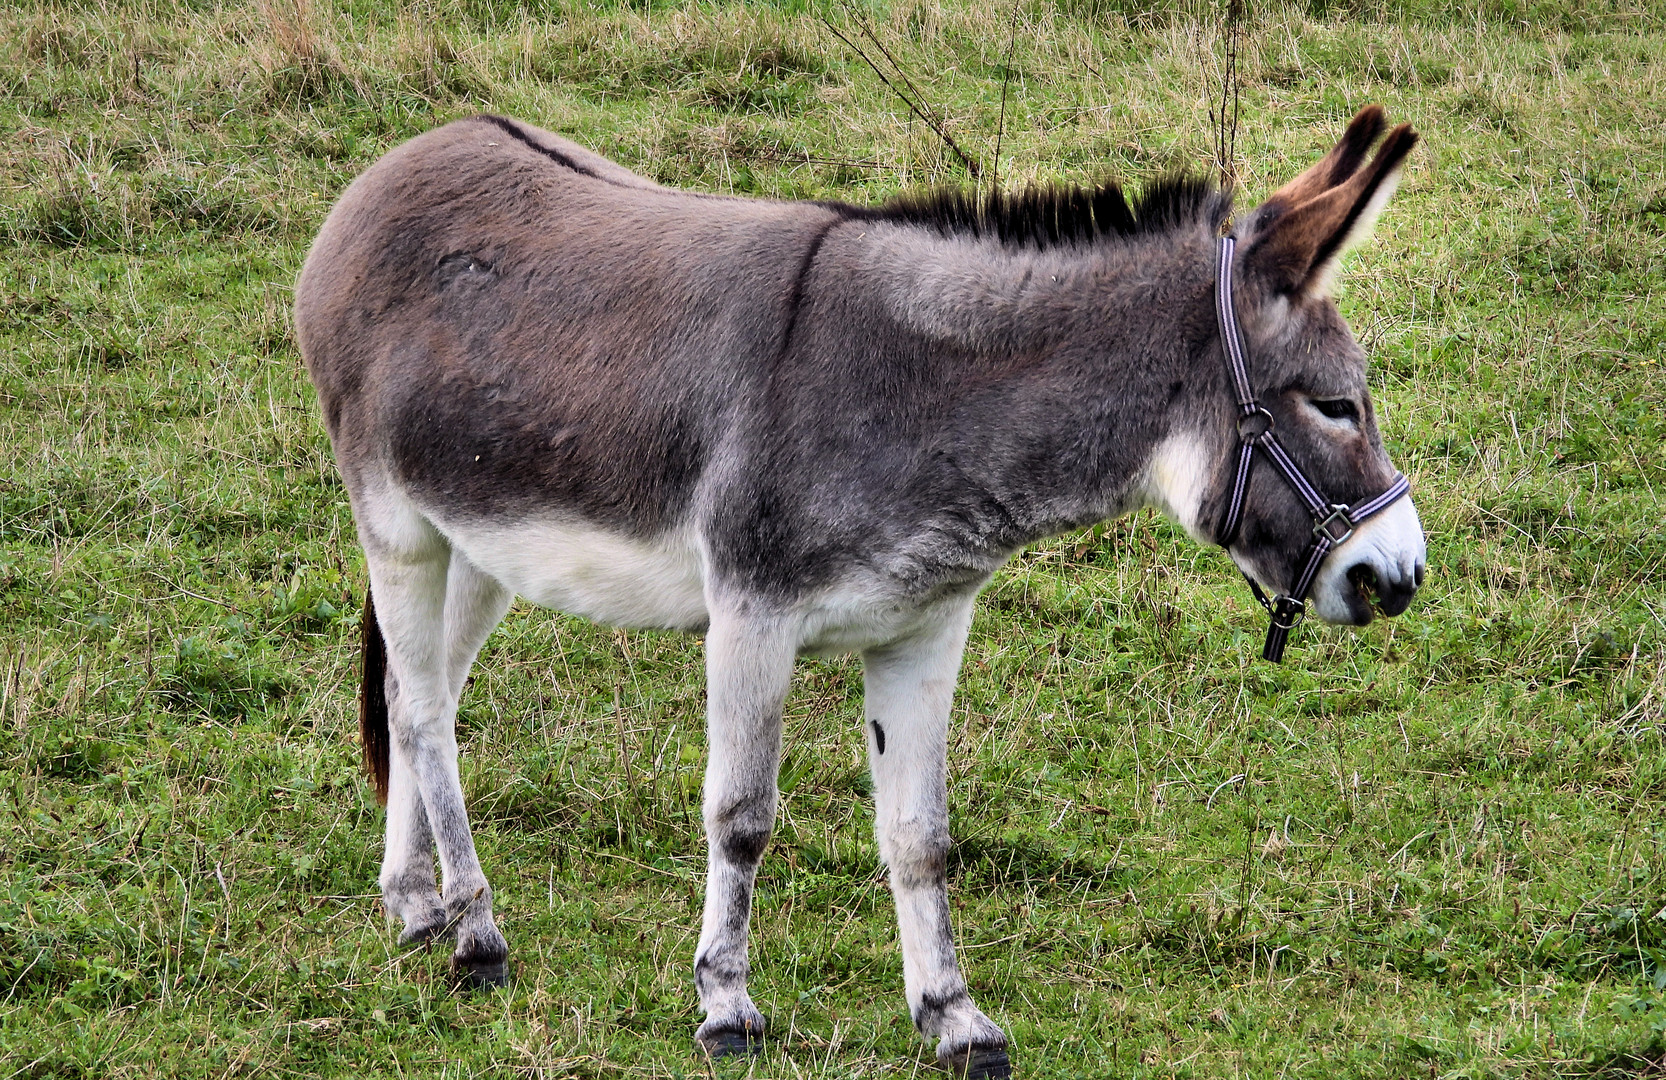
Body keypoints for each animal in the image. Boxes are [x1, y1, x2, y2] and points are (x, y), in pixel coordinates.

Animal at [294, 105, 1425, 1079]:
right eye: (1334, 405)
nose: (1401, 577)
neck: (920, 397)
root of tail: (402, 162)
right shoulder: (751, 613)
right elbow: (741, 816)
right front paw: (726, 1006)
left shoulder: (925, 626)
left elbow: (920, 837)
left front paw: (954, 1017)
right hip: (395, 522)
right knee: (427, 716)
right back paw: (476, 933)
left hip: (480, 545)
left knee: (411, 698)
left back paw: (415, 906)